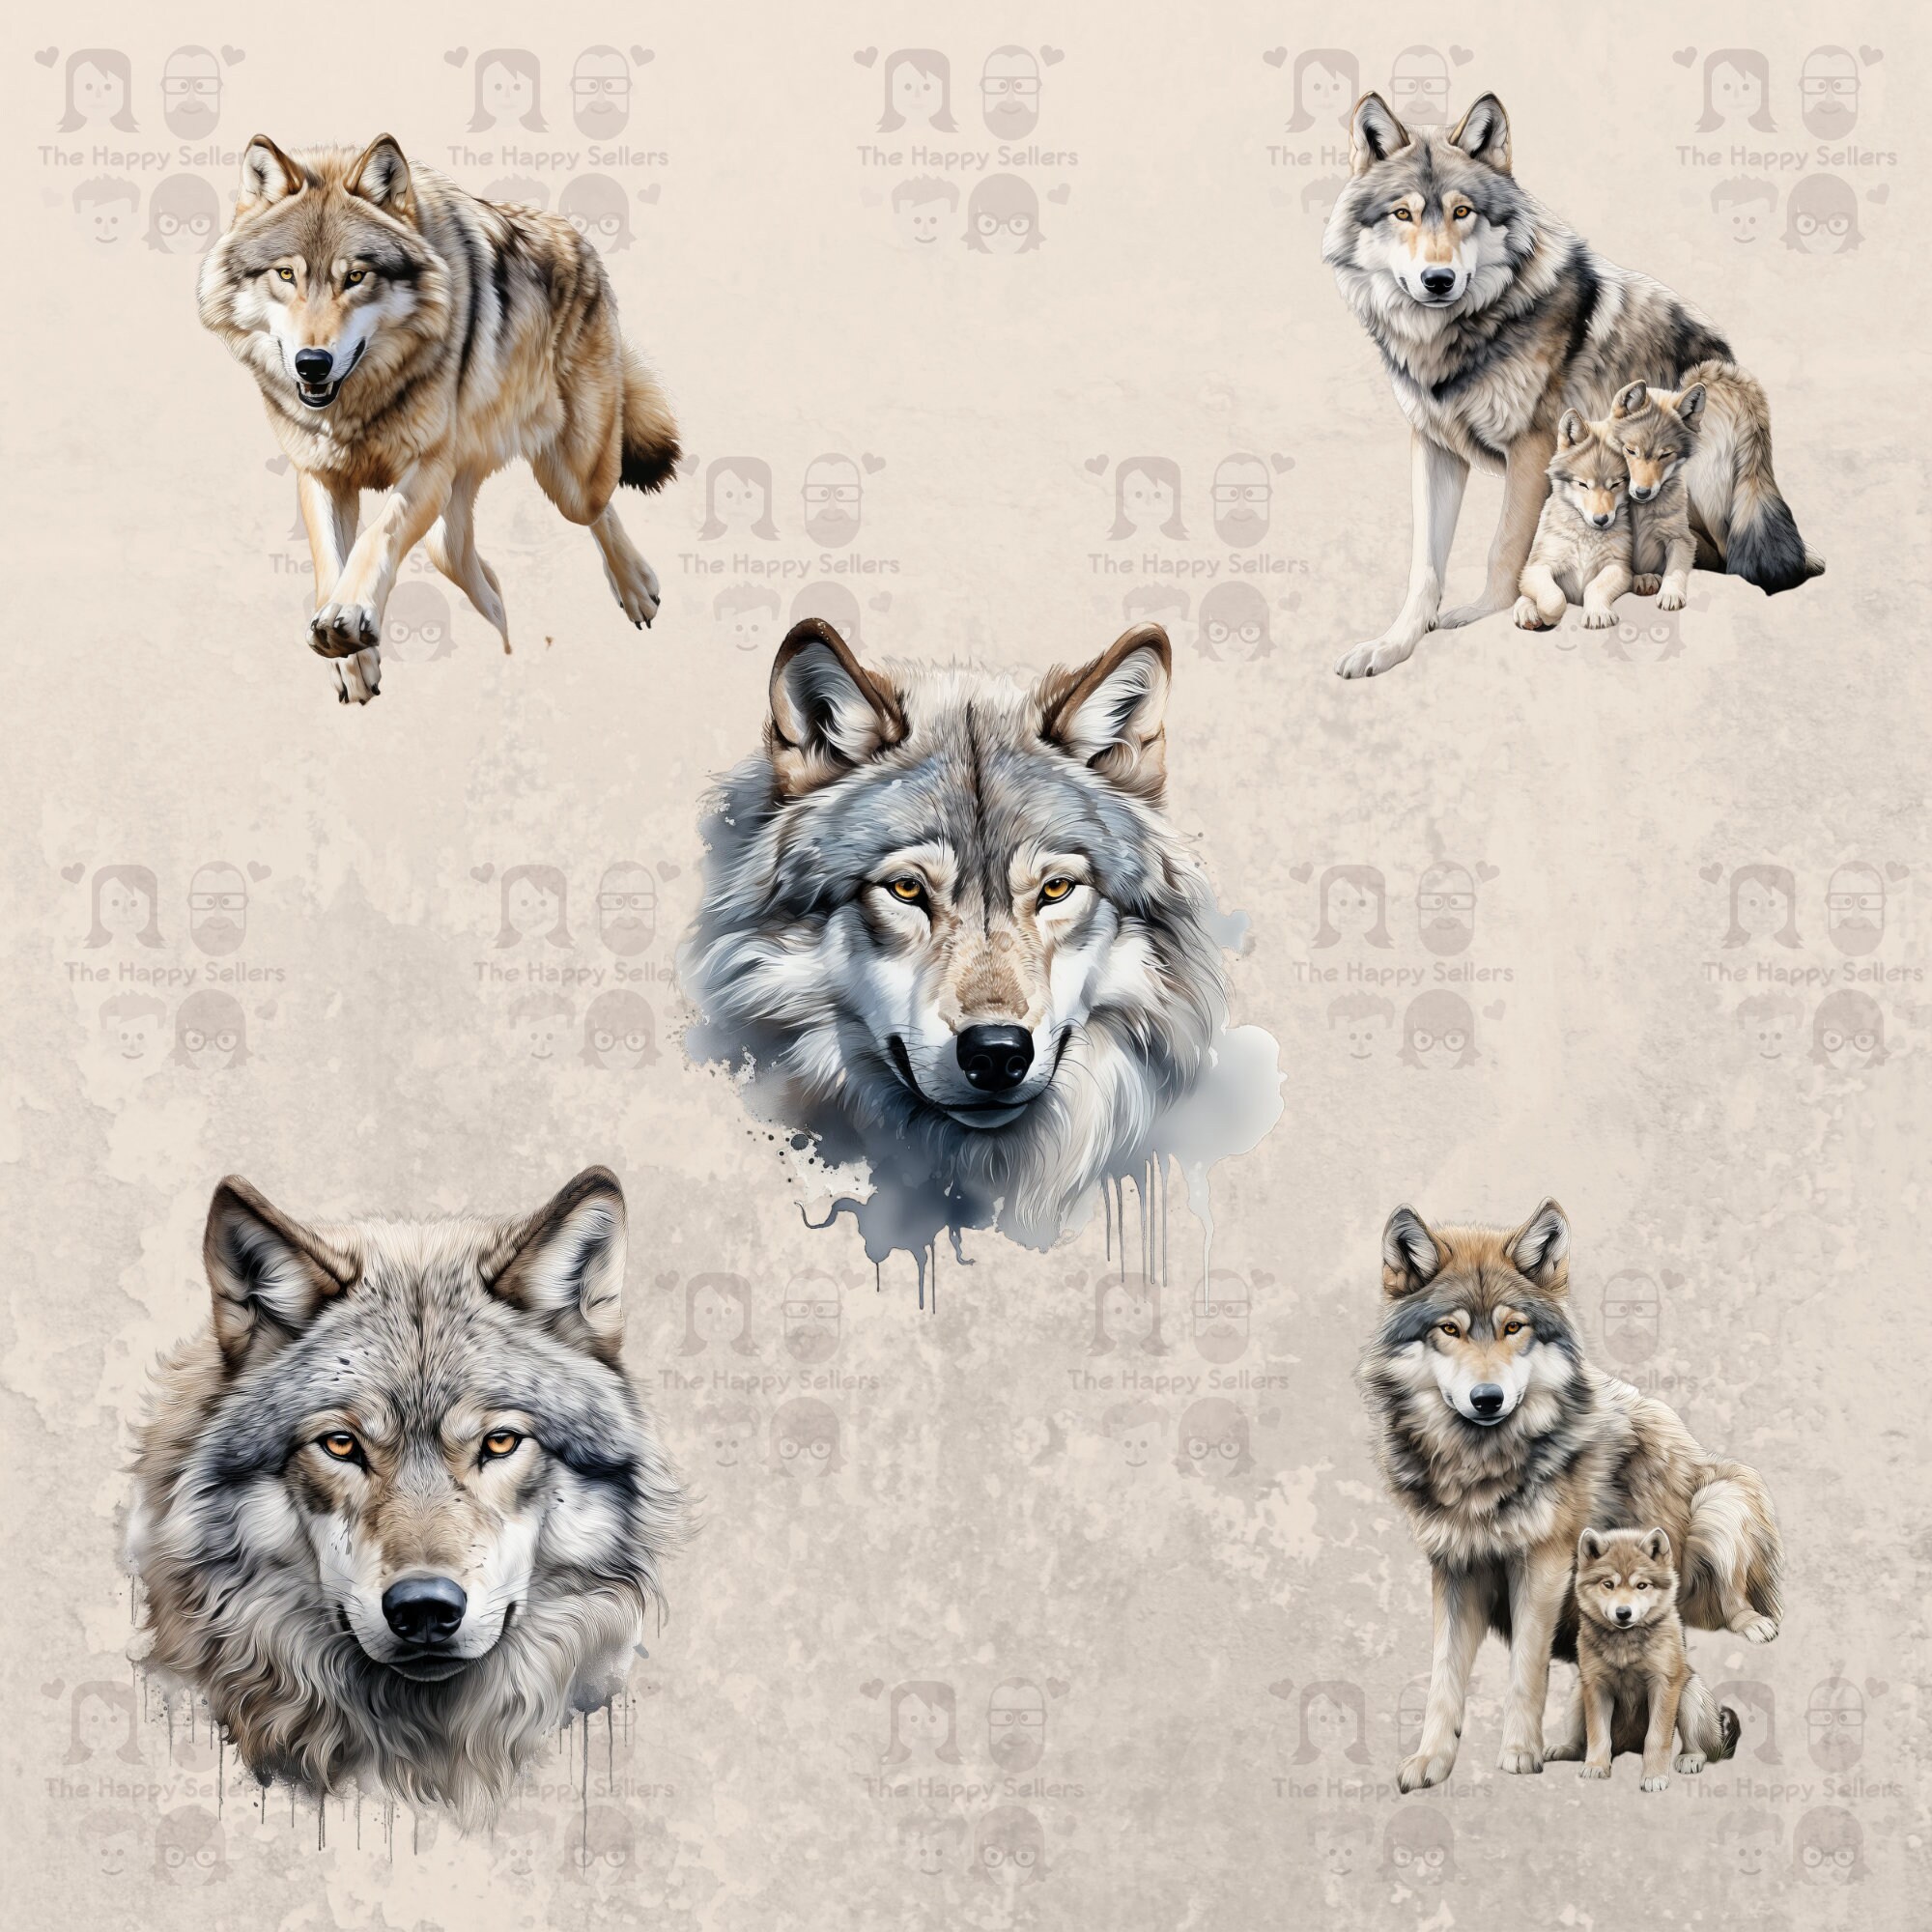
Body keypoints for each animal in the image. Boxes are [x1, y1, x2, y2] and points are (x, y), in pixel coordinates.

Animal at [199, 134, 680, 704]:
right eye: (286, 274)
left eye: (355, 276)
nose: (311, 363)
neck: (359, 404)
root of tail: (579, 239)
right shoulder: (320, 472)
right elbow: (330, 561)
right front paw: (350, 659)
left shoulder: (426, 464)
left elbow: (375, 536)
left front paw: (349, 614)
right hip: (466, 478)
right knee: (452, 551)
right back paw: (502, 625)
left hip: (568, 478)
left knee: (598, 507)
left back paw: (635, 588)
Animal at [1513, 410, 1632, 631]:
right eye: (1583, 484)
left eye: (1615, 485)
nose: (1601, 520)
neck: (1587, 536)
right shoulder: (1537, 566)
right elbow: (1554, 598)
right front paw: (1548, 617)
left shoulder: (1619, 566)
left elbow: (1595, 586)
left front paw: (1597, 614)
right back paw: (1527, 611)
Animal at [1573, 1525, 1741, 1791]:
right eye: (1608, 1584)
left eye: (1642, 1585)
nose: (1623, 1613)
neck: (1626, 1643)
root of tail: (1629, 1748)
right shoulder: (1595, 1686)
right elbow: (1598, 1734)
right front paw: (1596, 1767)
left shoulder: (1664, 1684)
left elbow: (1657, 1738)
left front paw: (1653, 1777)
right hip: (1577, 1692)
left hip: (1691, 1692)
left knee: (1705, 1750)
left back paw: (1691, 1758)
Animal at [1609, 378, 1706, 610]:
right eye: (1631, 451)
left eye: (1665, 455)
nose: (1642, 492)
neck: (1642, 511)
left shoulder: (1682, 538)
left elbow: (1675, 569)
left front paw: (1670, 594)